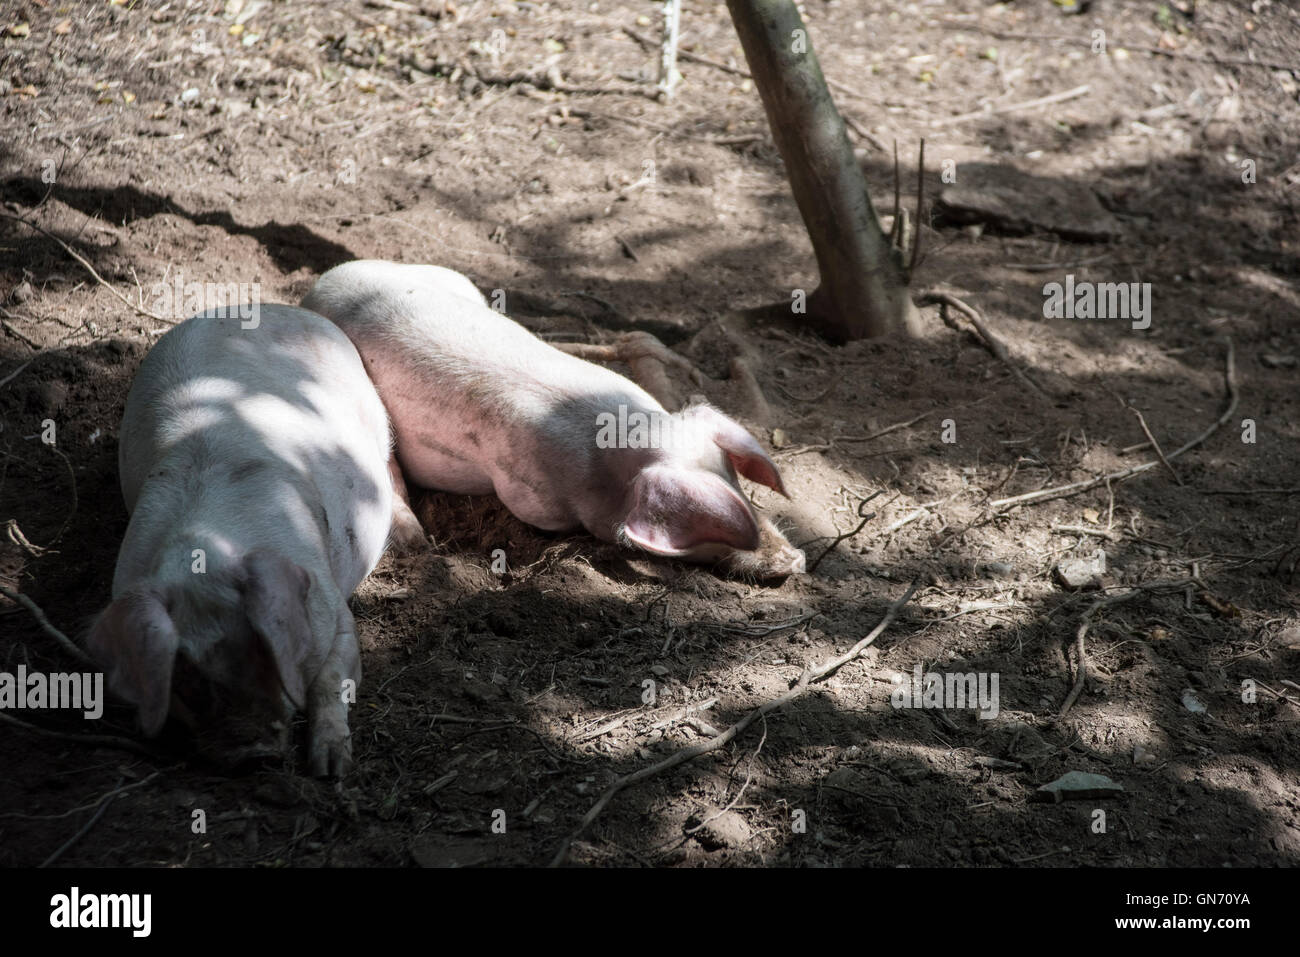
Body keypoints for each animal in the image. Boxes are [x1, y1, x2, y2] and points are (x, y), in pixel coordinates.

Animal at [85, 305, 395, 776]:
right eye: (187, 676)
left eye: (265, 652)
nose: (250, 754)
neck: (209, 548)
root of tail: (261, 305)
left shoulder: (333, 608)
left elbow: (332, 680)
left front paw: (331, 768)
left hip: (375, 413)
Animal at [302, 260, 805, 579]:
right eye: (703, 525)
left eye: (733, 478)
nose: (796, 560)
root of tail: (323, 281)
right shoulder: (527, 496)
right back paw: (418, 542)